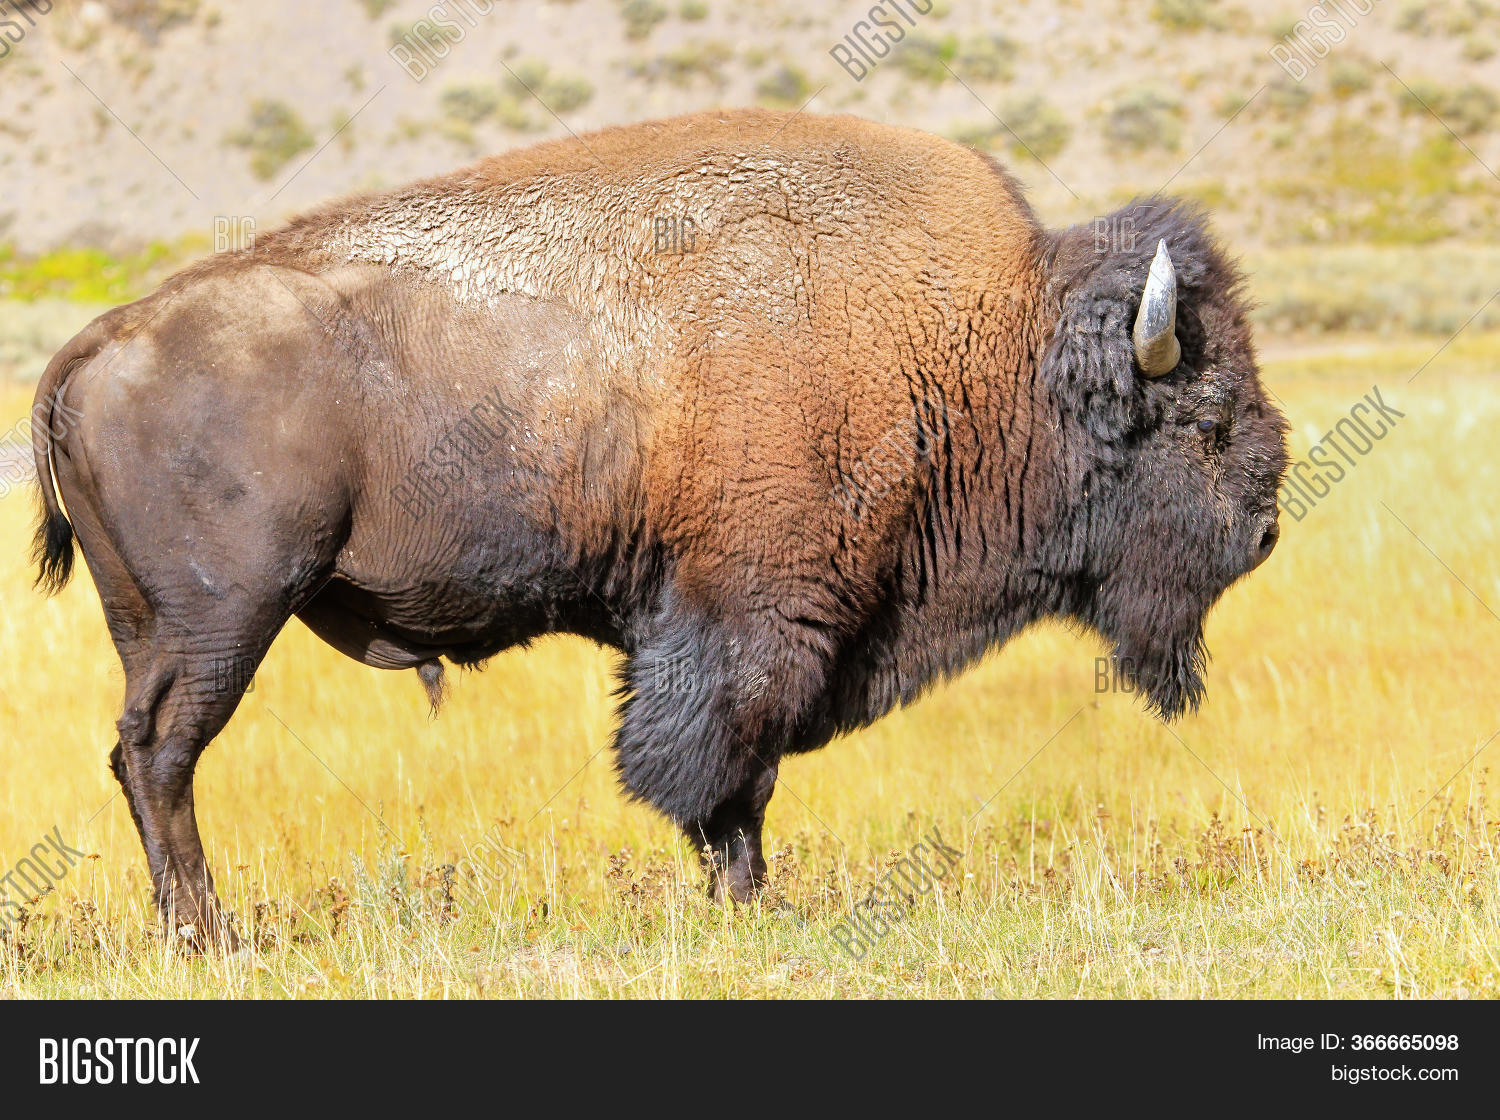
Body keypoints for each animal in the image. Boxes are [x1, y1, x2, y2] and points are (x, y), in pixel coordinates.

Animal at [31, 109, 1287, 948]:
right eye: (1209, 419)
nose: (1269, 525)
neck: (977, 347)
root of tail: (95, 344)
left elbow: (740, 773)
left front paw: (745, 894)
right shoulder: (754, 621)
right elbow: (724, 766)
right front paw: (744, 899)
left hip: (154, 626)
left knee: (139, 754)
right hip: (224, 620)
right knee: (163, 752)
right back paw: (210, 935)